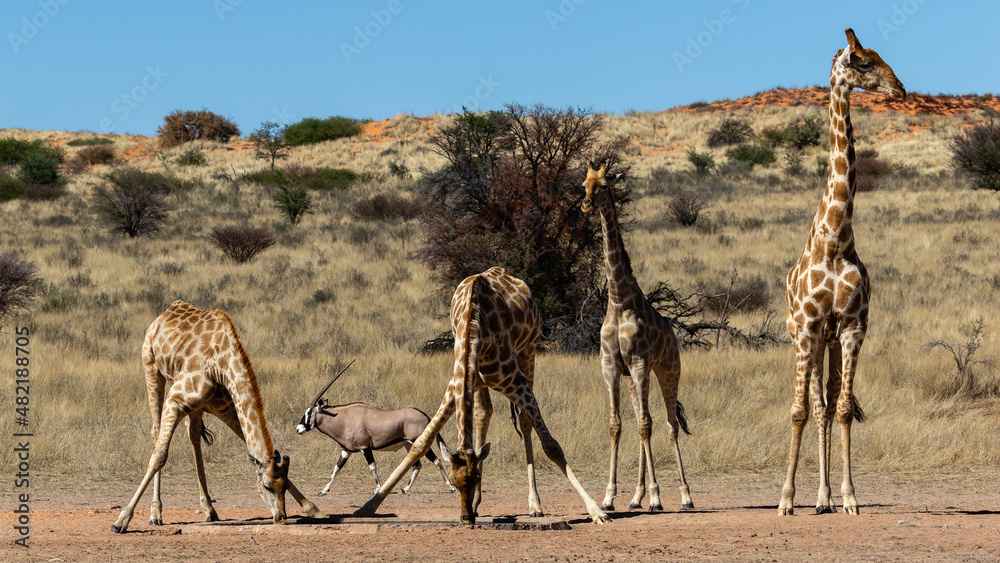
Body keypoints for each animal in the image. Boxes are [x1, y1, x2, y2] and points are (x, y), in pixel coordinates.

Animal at [110, 300, 327, 533]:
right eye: (266, 486)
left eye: (284, 486)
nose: (281, 518)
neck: (222, 365)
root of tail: (167, 311)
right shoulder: (175, 400)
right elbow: (159, 456)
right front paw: (121, 520)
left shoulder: (225, 408)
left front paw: (315, 509)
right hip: (151, 369)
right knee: (156, 432)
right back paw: (155, 514)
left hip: (195, 406)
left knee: (194, 437)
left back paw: (209, 509)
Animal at [353, 267, 609, 525]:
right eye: (454, 482)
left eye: (476, 479)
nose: (466, 517)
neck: (474, 326)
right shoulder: (456, 385)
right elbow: (420, 444)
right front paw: (367, 507)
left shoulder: (516, 382)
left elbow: (552, 446)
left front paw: (596, 510)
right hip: (480, 384)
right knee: (483, 414)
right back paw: (481, 504)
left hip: (529, 352)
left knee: (525, 422)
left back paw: (535, 505)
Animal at [582, 162, 693, 512]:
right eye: (583, 184)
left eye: (604, 185)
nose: (585, 205)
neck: (618, 300)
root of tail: (674, 334)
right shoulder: (611, 366)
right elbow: (618, 425)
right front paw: (608, 496)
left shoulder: (641, 363)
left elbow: (647, 425)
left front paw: (658, 496)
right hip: (633, 378)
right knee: (644, 420)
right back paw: (636, 497)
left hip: (668, 370)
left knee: (669, 424)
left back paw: (684, 496)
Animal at [779, 28, 905, 516]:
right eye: (861, 60)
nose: (900, 89)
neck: (834, 240)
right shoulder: (809, 328)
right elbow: (798, 410)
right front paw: (785, 499)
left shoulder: (851, 327)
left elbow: (846, 408)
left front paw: (849, 497)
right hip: (805, 340)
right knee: (814, 405)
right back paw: (810, 498)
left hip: (829, 343)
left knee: (829, 404)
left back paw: (825, 497)